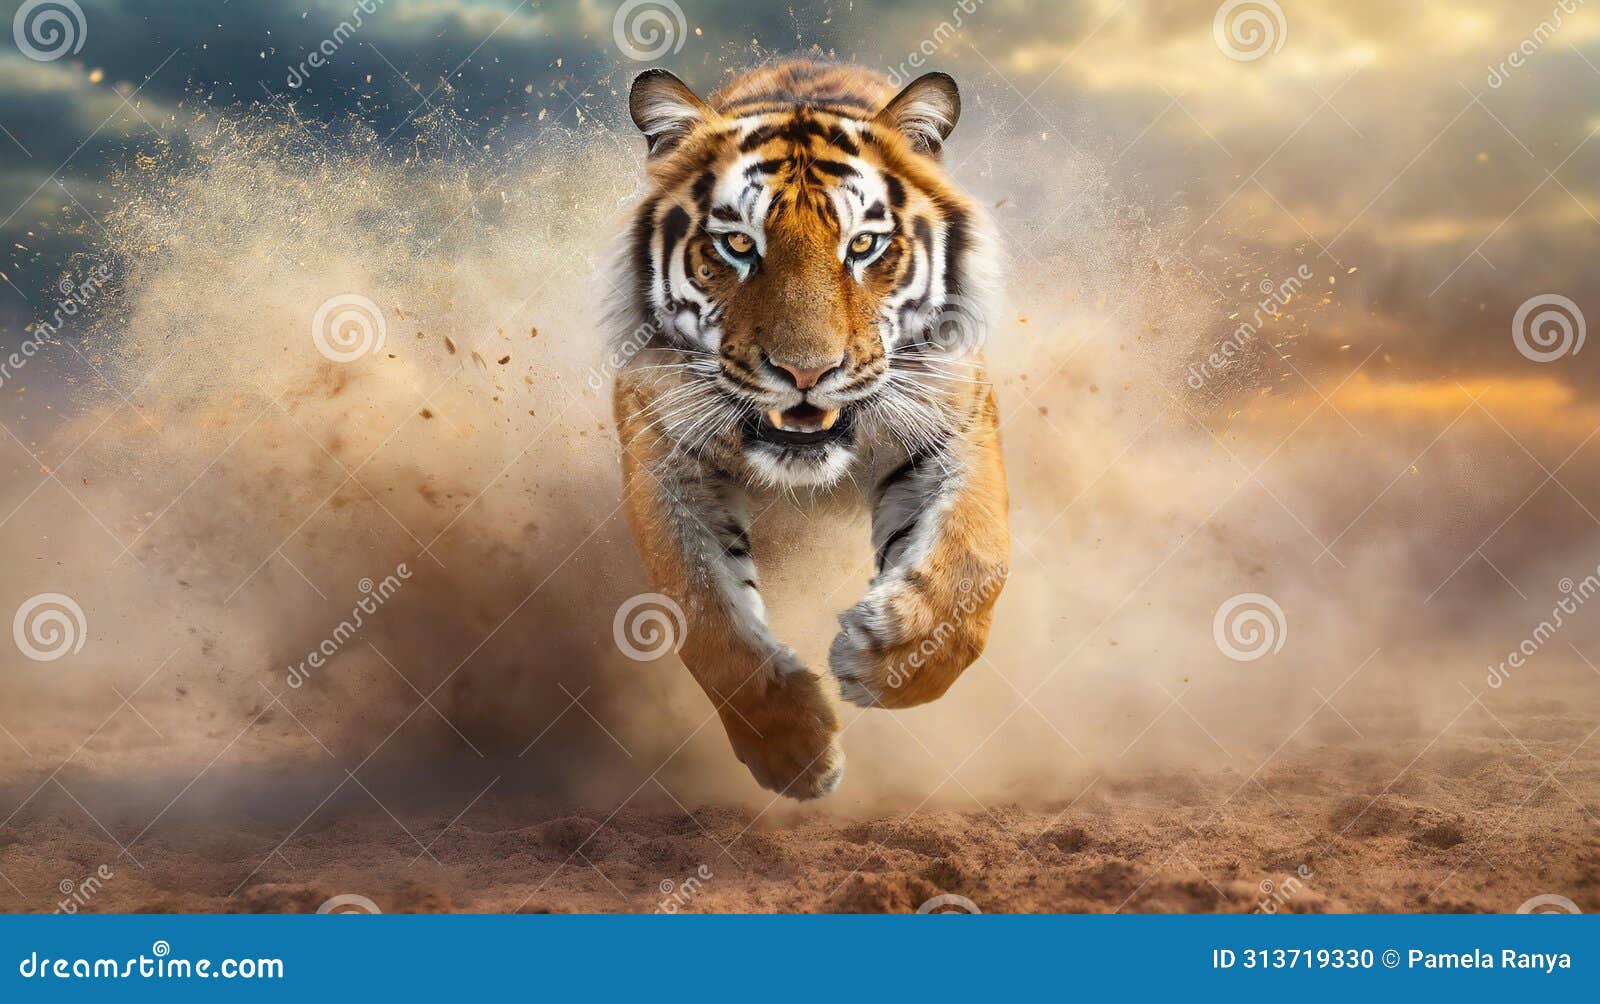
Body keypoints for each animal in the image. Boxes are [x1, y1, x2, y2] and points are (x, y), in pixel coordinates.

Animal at [609, 61, 1009, 799]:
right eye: (739, 243)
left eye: (864, 245)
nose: (806, 371)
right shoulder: (664, 455)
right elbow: (705, 611)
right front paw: (794, 750)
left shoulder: (954, 425)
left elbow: (975, 559)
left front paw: (884, 659)